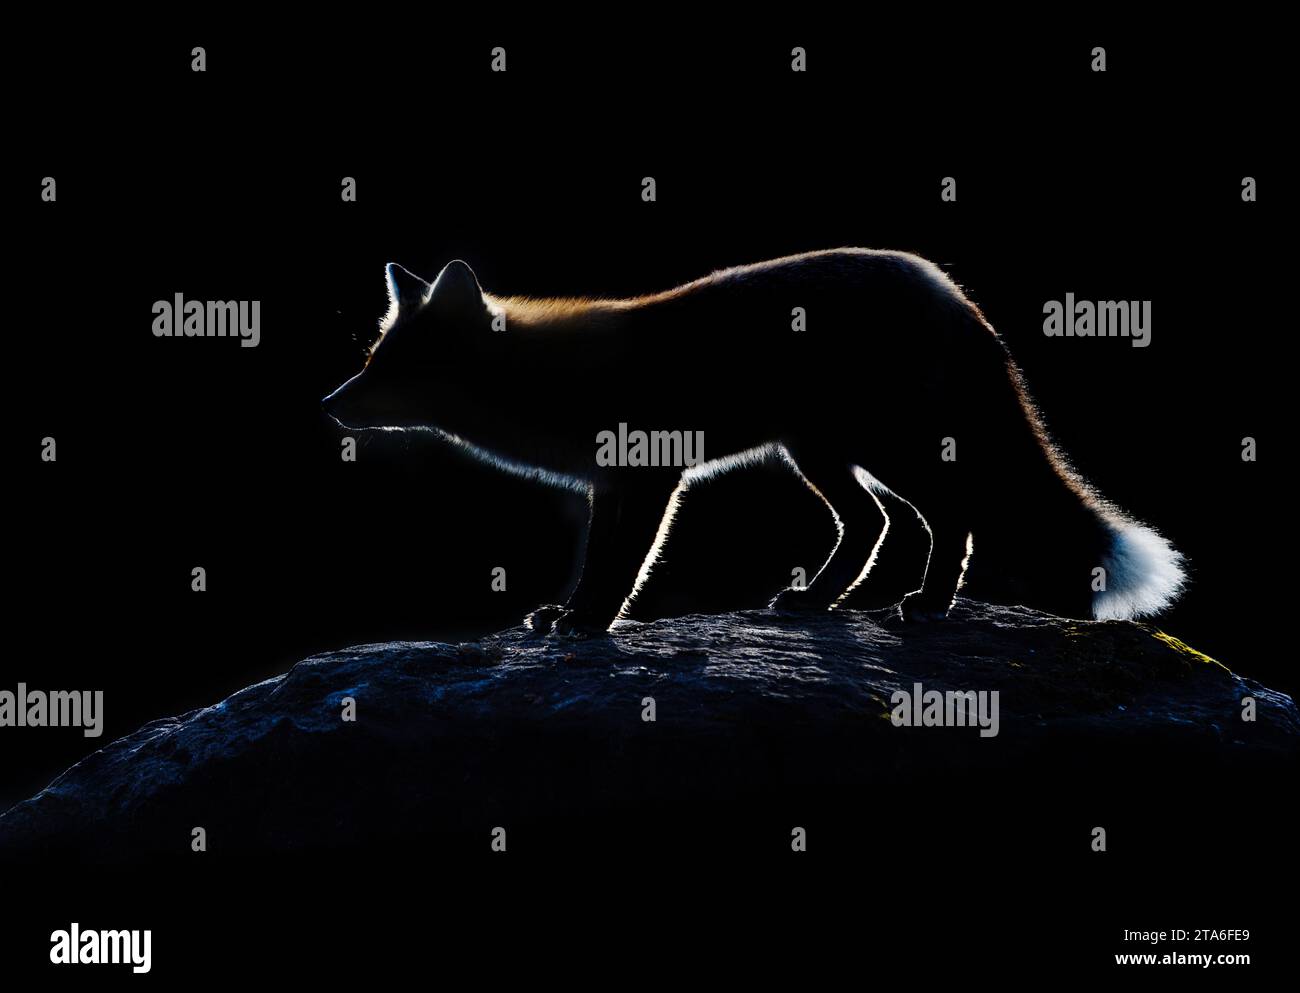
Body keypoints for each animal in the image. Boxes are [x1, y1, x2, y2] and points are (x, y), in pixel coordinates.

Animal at [322, 248, 1186, 635]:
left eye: (386, 368)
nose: (327, 406)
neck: (549, 373)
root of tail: (954, 291)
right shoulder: (610, 484)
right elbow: (593, 560)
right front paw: (568, 613)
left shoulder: (649, 476)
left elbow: (620, 566)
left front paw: (590, 622)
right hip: (820, 453)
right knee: (876, 523)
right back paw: (827, 599)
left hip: (884, 447)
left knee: (951, 518)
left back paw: (928, 603)